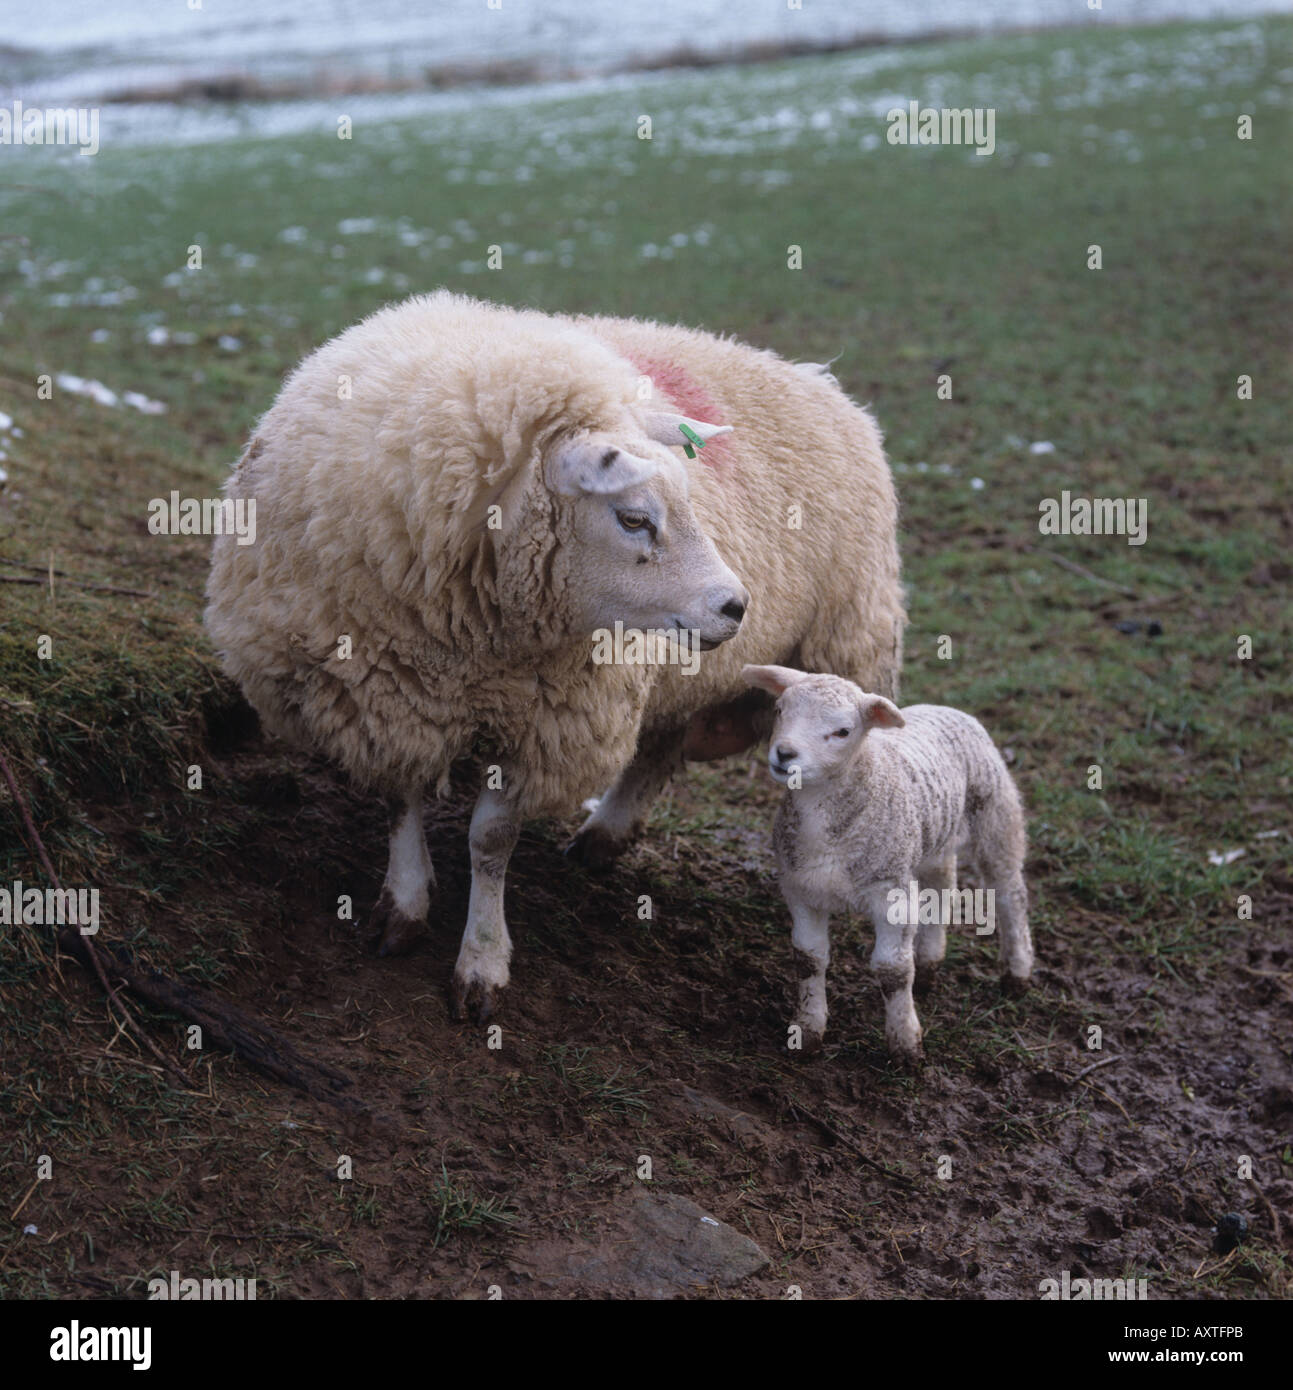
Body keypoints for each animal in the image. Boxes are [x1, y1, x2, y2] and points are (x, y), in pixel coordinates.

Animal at [205, 291, 905, 1022]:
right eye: (633, 518)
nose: (735, 606)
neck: (473, 639)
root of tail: (812, 375)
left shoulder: (549, 722)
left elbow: (490, 843)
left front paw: (482, 960)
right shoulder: (383, 697)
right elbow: (401, 799)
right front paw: (404, 904)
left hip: (845, 638)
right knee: (658, 746)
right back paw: (605, 835)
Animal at [741, 664, 1033, 1061]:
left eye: (842, 731)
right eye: (780, 710)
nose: (784, 754)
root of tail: (947, 709)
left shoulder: (891, 893)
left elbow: (893, 971)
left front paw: (906, 1044)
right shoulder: (800, 889)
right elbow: (808, 958)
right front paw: (807, 1030)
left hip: (997, 815)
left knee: (1009, 894)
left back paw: (1017, 973)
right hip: (931, 838)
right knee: (942, 886)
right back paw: (929, 965)